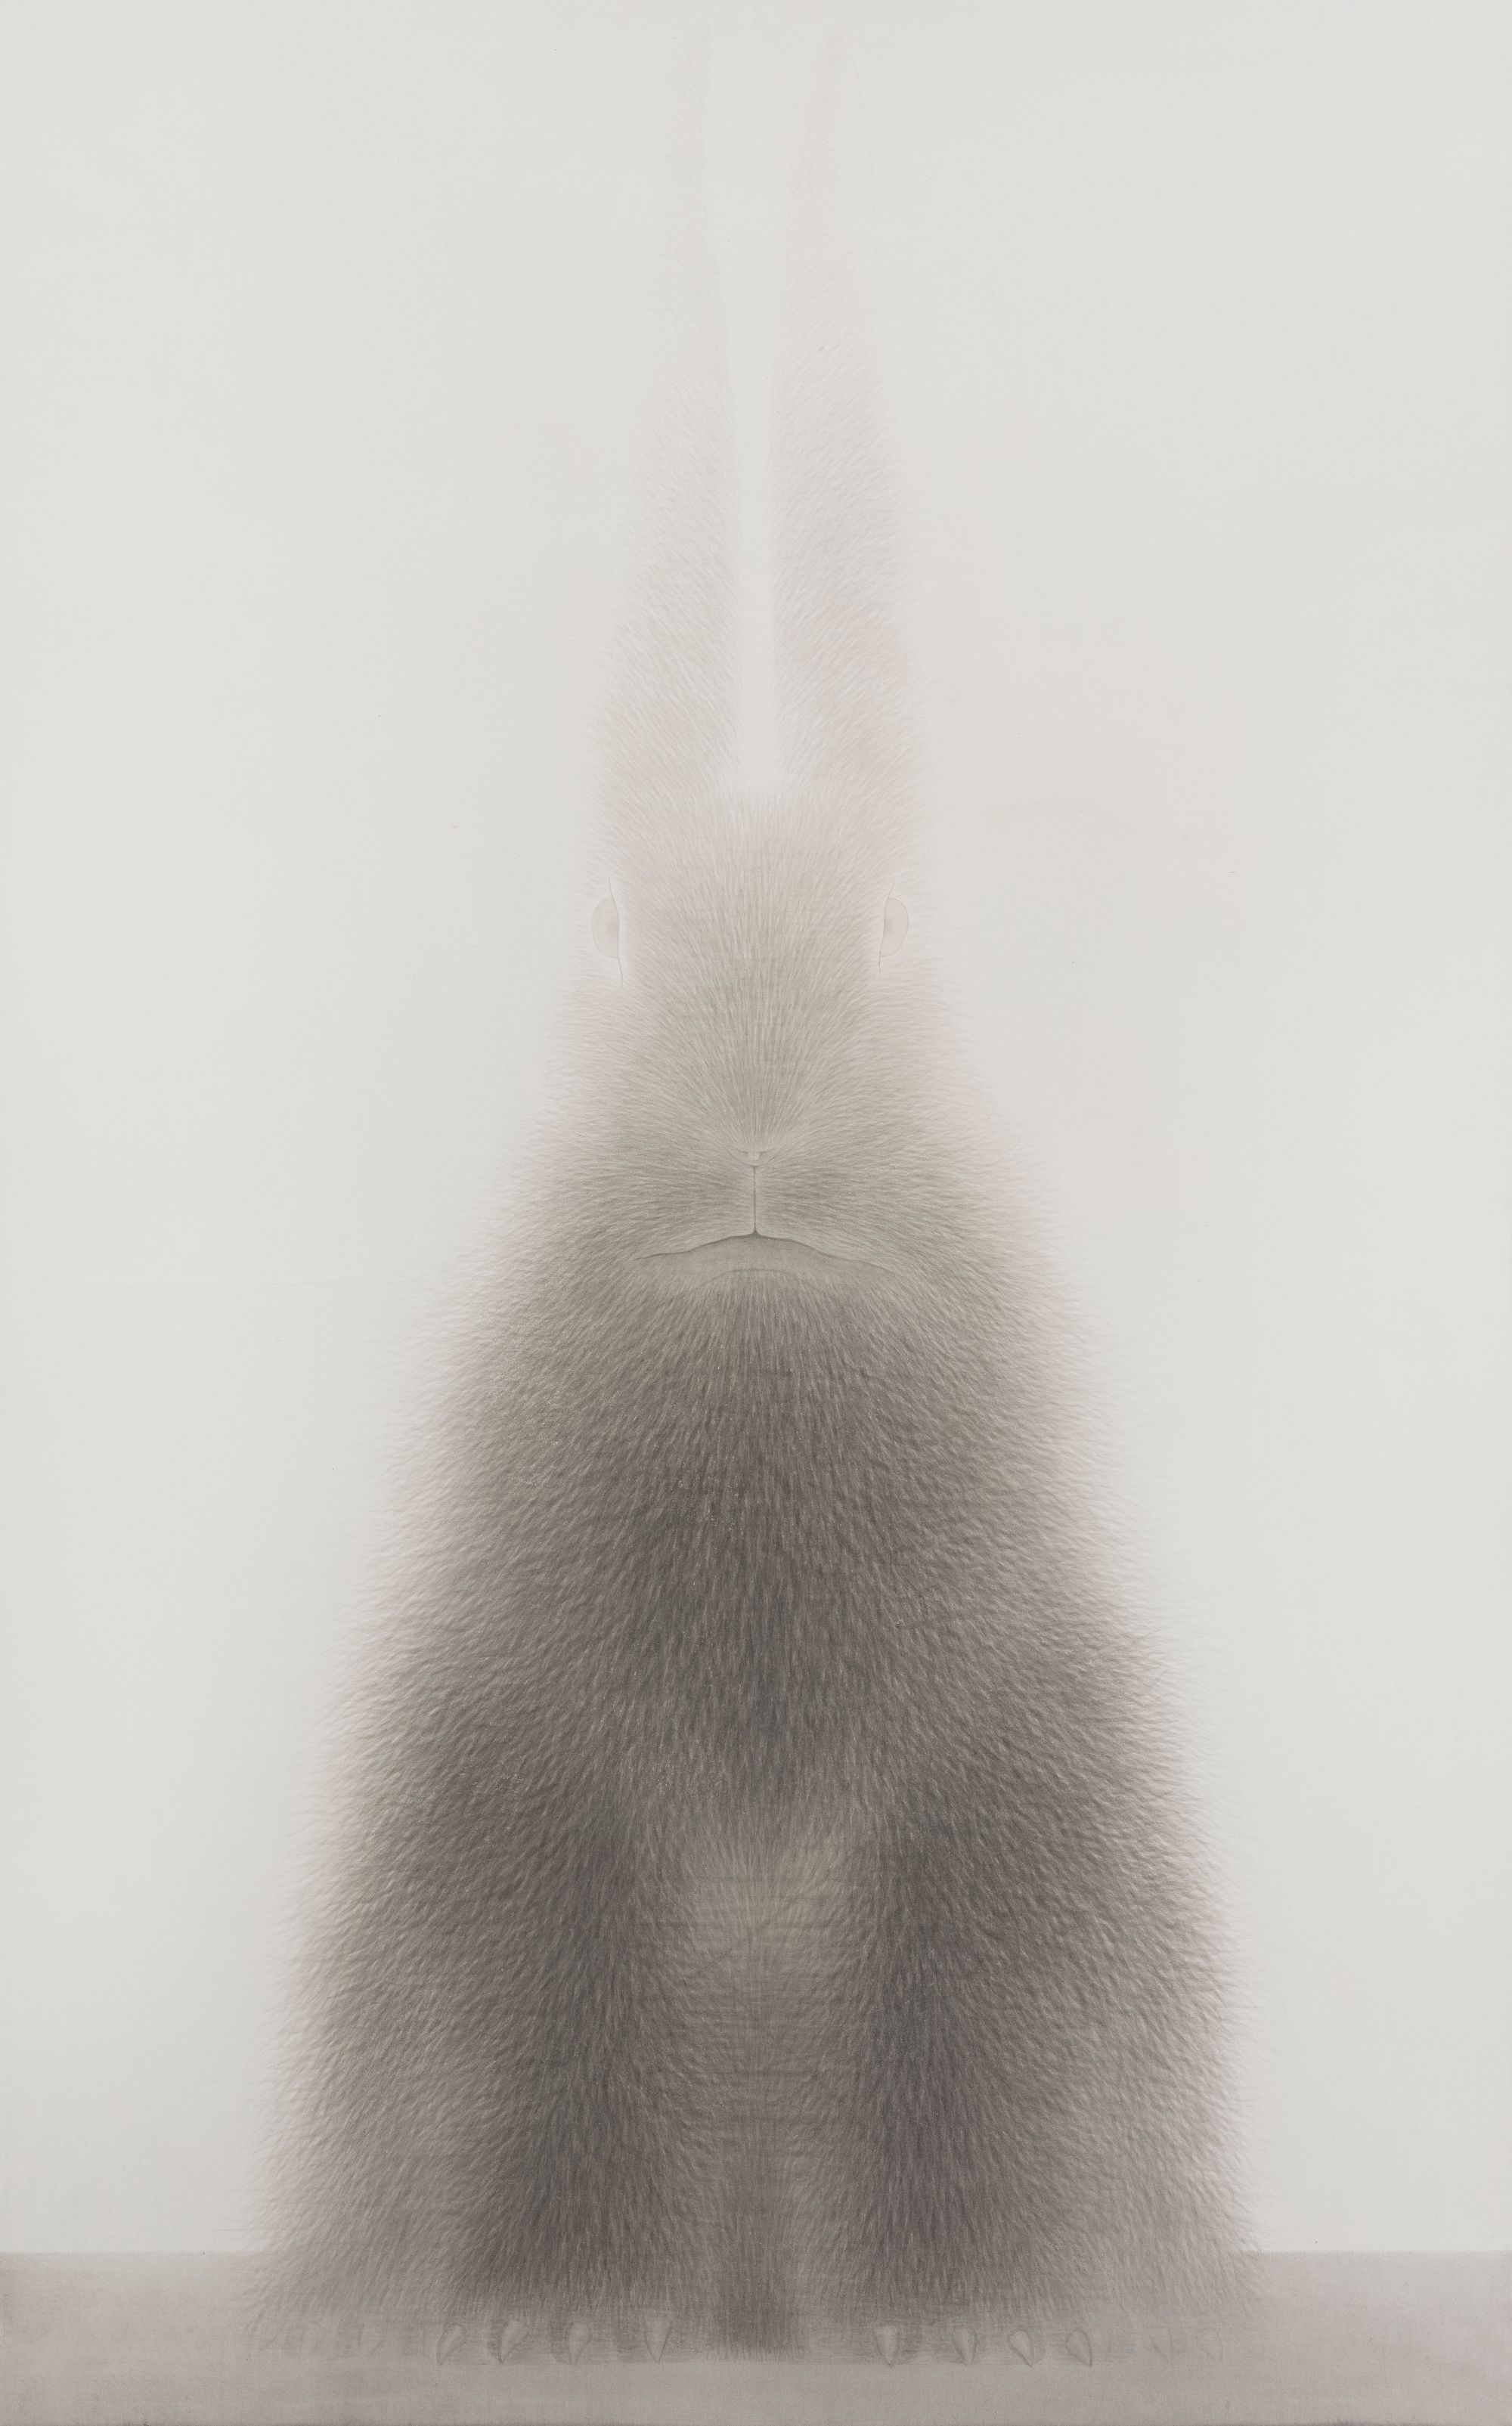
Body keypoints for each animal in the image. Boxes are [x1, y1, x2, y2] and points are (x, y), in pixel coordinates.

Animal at [260, 51, 1243, 2367]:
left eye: (887, 929)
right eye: (613, 932)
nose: (755, 1132)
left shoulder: (962, 1800)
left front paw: (961, 2330)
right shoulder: (553, 1782)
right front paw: (547, 2325)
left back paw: (974, 2310)